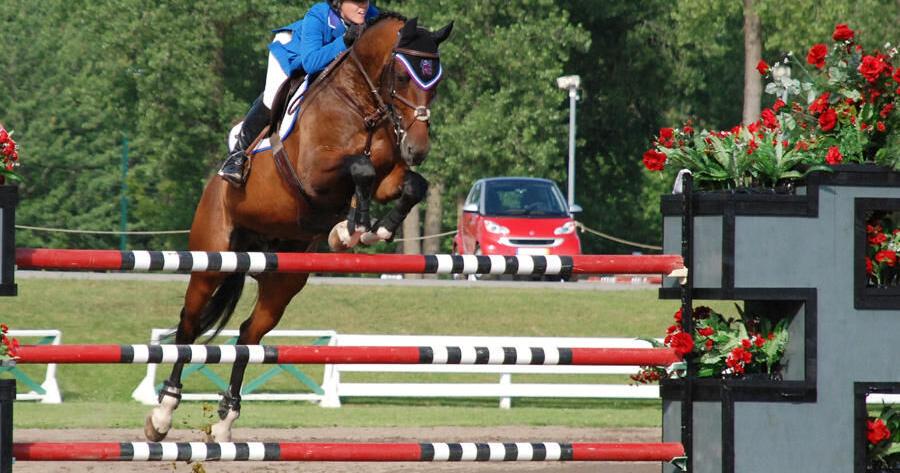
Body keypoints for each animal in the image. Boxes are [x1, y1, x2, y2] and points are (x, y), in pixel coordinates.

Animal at [144, 13, 453, 442]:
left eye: (434, 81)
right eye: (403, 76)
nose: (417, 149)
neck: (363, 107)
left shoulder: (389, 177)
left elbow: (410, 185)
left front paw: (370, 230)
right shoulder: (313, 173)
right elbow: (360, 167)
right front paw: (353, 227)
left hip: (283, 277)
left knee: (248, 335)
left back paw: (225, 419)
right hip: (211, 258)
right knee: (189, 325)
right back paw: (163, 413)